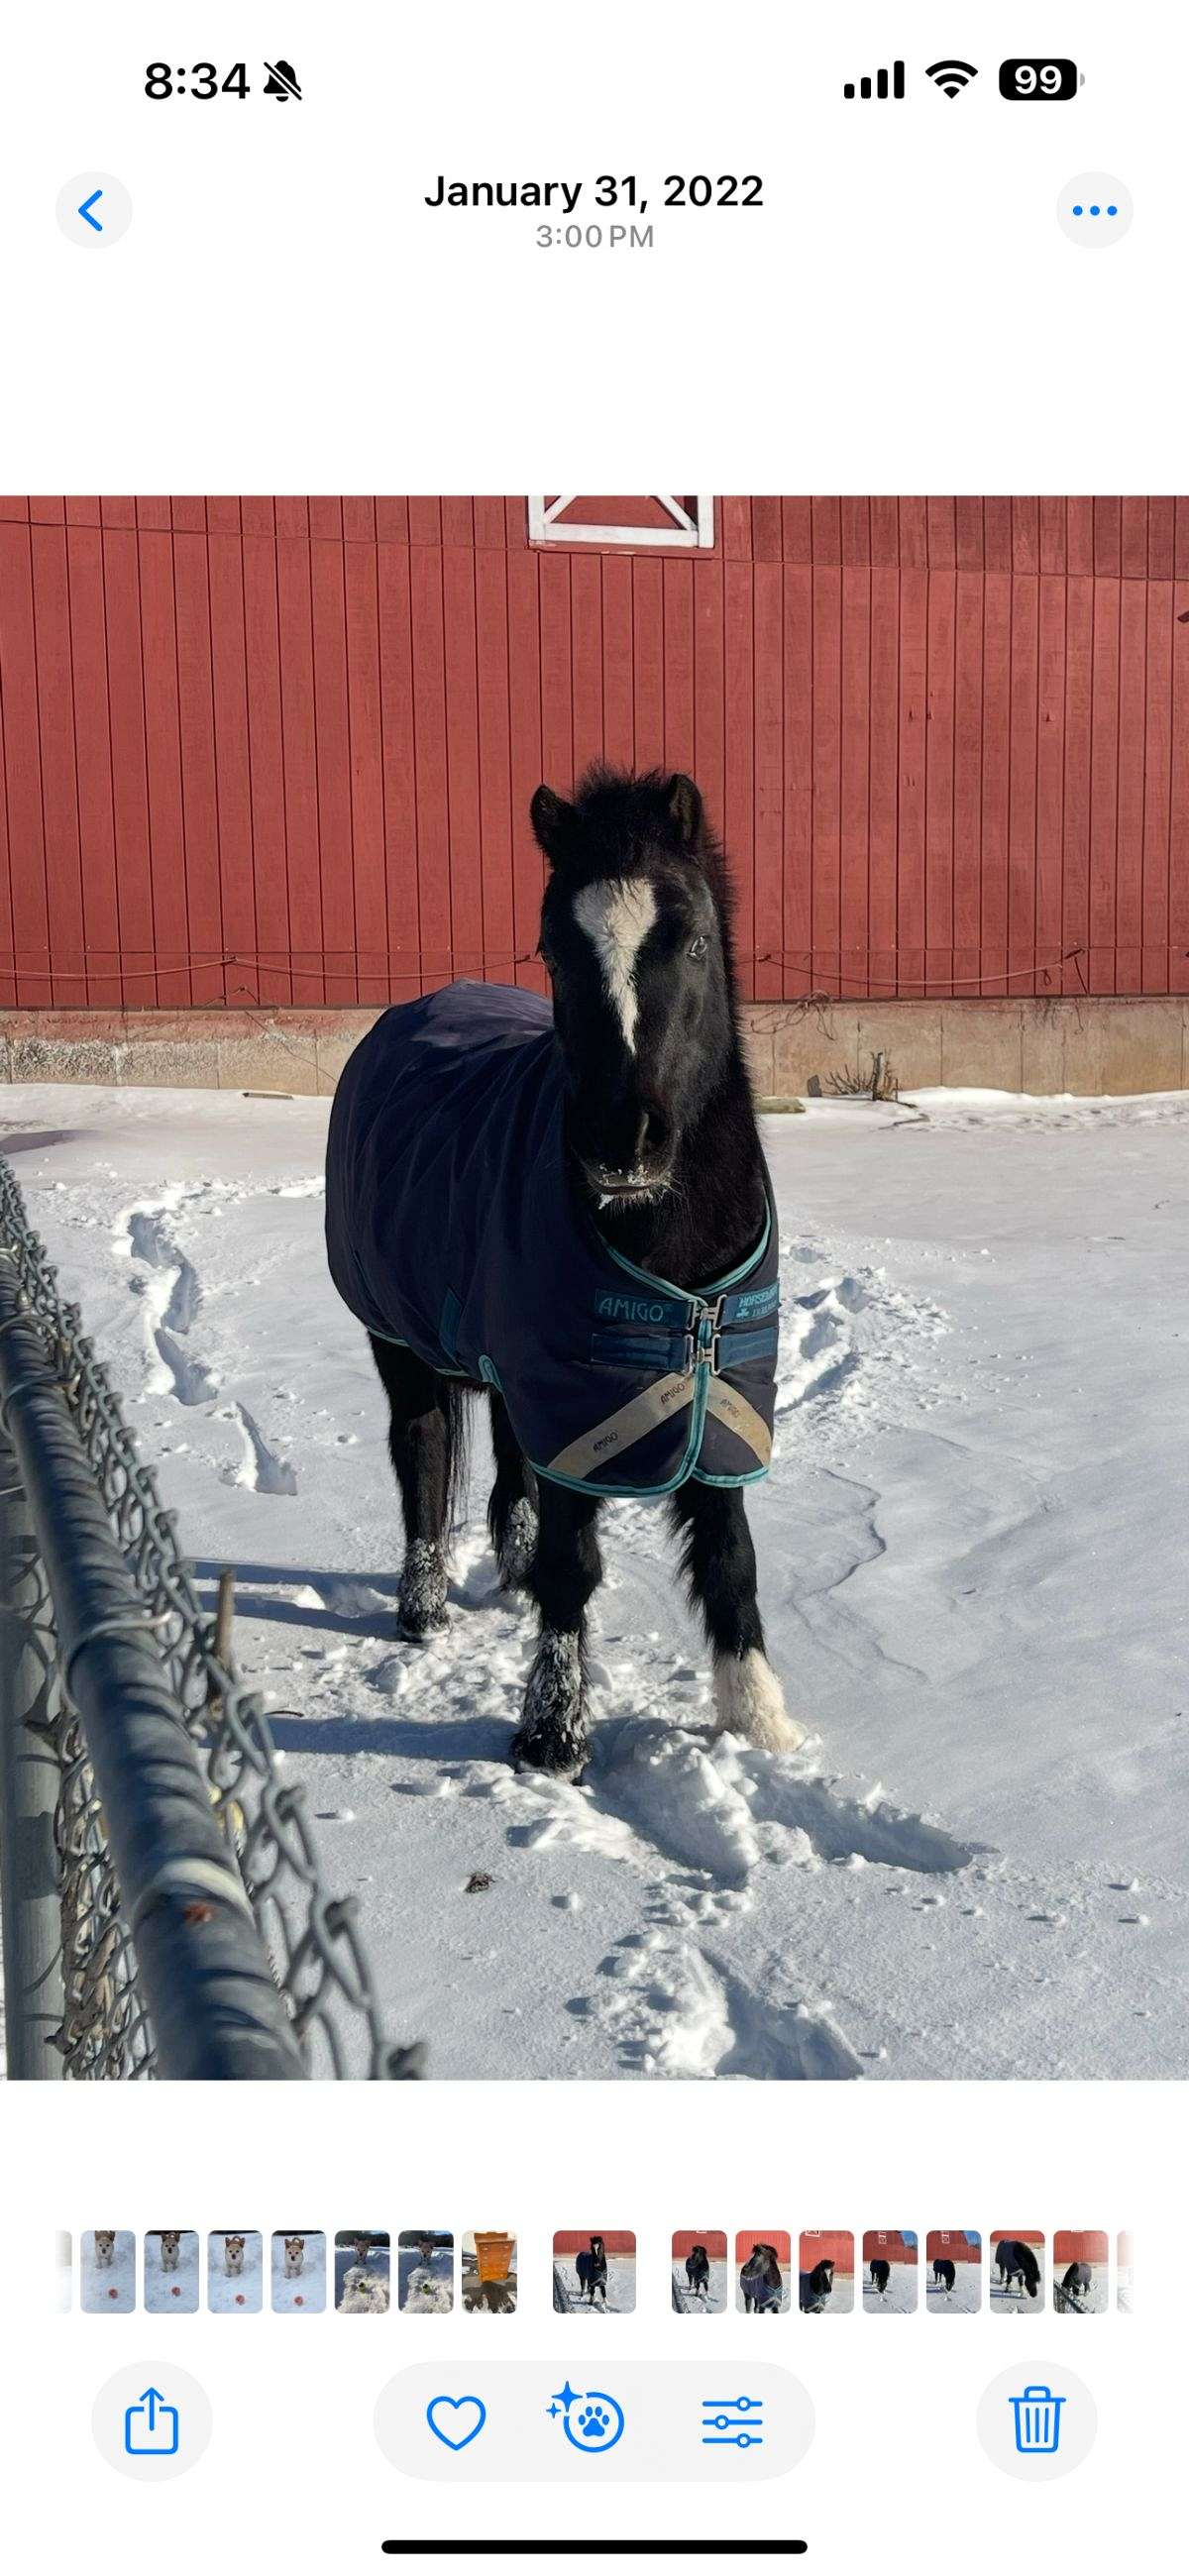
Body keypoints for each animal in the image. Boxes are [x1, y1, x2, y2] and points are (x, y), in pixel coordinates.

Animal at [326, 767, 807, 1778]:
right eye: (552, 951)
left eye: (693, 939)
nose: (621, 1142)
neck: (675, 1264)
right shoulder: (582, 1404)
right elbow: (574, 1564)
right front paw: (553, 1733)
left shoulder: (720, 1401)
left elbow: (730, 1557)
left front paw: (761, 1725)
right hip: (400, 1344)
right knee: (422, 1450)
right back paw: (423, 1604)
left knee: (509, 1461)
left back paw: (506, 1575)